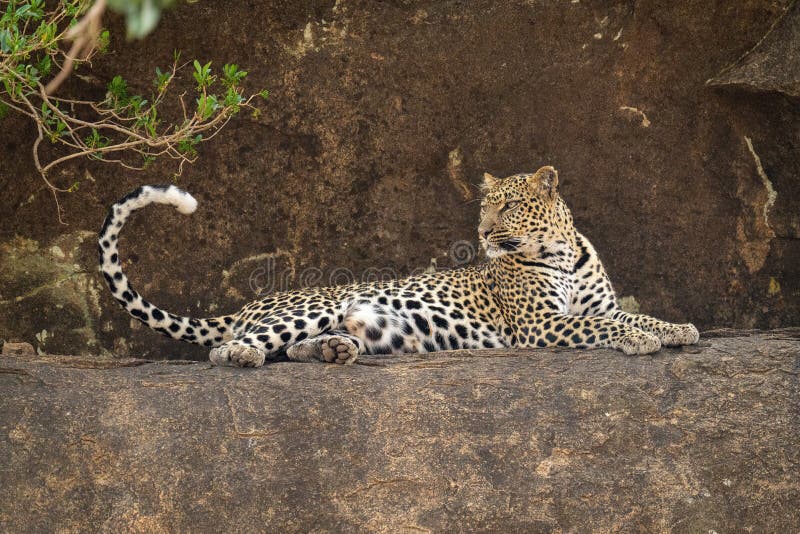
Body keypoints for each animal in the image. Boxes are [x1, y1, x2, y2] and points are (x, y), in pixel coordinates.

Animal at [98, 165, 699, 368]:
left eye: (506, 206)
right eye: (483, 208)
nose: (482, 234)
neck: (562, 253)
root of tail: (250, 302)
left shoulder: (595, 305)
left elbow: (625, 314)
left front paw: (675, 328)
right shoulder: (540, 325)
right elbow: (602, 326)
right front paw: (647, 338)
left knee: (296, 350)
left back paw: (336, 352)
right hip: (312, 307)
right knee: (232, 349)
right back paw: (245, 354)